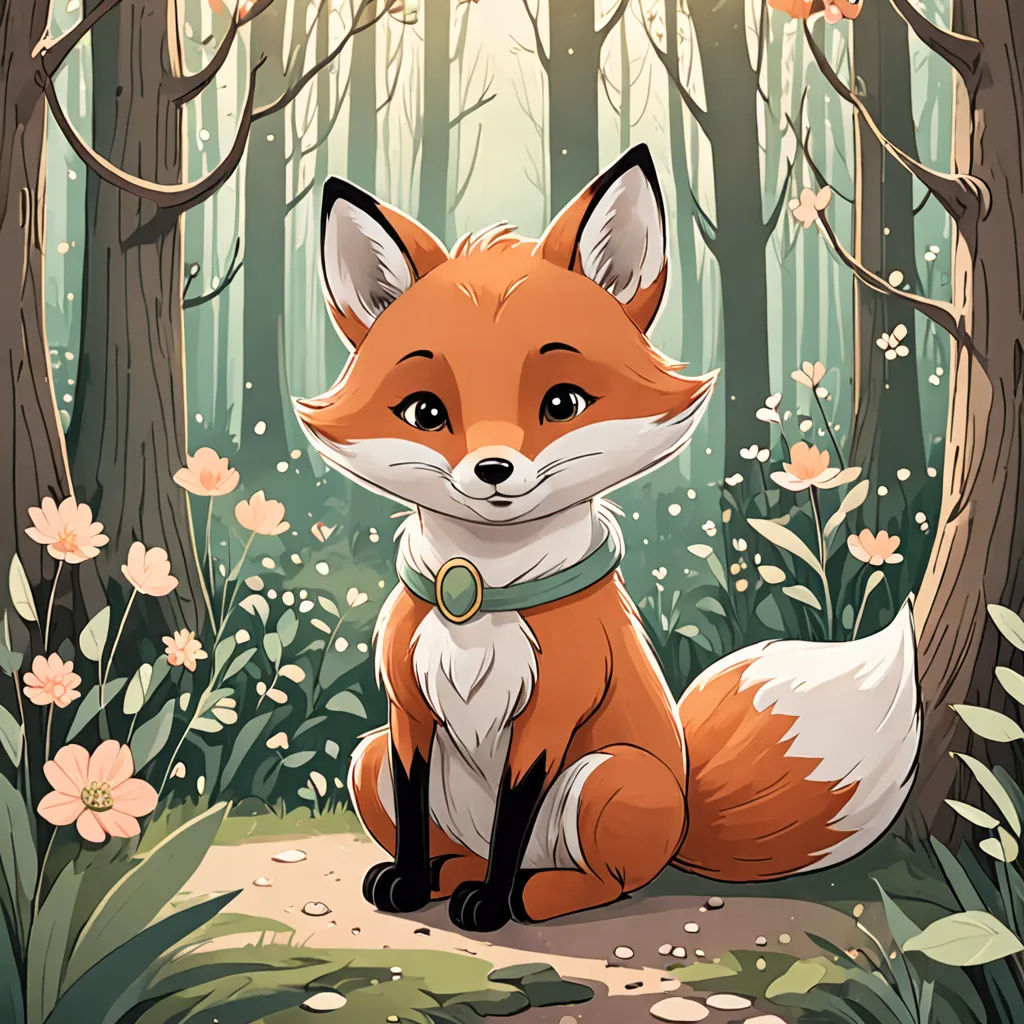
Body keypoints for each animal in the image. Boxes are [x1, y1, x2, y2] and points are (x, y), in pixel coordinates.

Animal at [294, 144, 921, 932]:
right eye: (425, 411)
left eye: (562, 402)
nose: (493, 470)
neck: (483, 595)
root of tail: (683, 816)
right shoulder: (405, 712)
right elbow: (413, 816)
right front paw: (410, 880)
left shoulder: (553, 711)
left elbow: (514, 813)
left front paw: (493, 906)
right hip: (368, 760)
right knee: (461, 843)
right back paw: (444, 875)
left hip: (605, 780)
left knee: (606, 880)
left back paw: (527, 893)